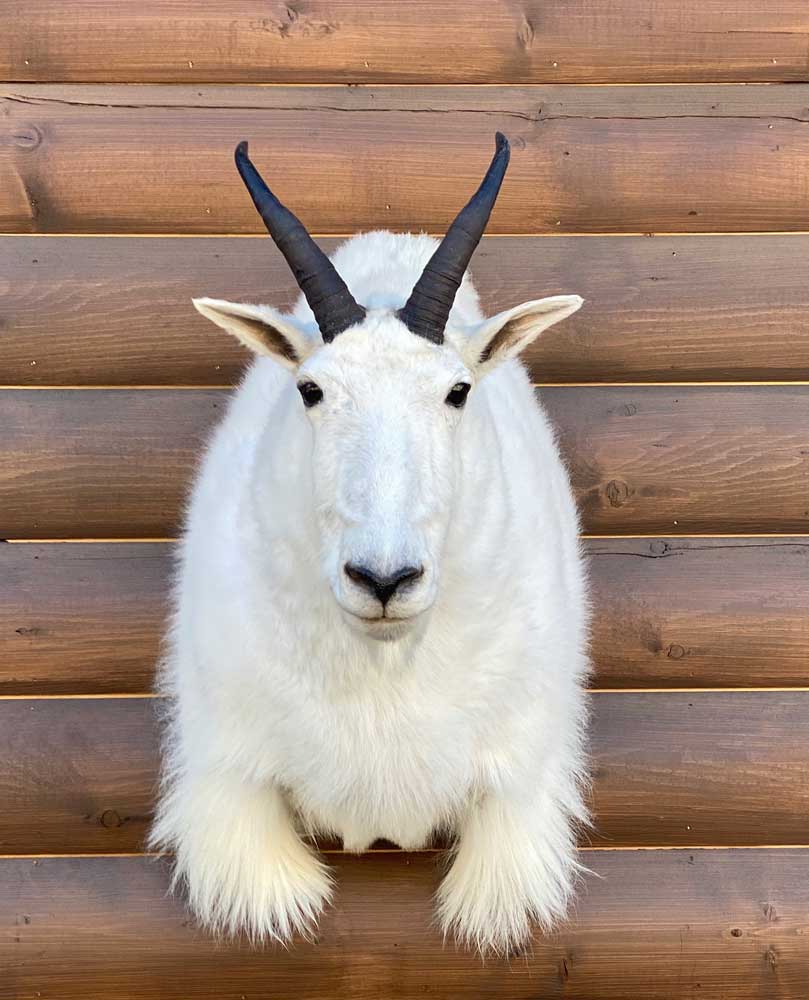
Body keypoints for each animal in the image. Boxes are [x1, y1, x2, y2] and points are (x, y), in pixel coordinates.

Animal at [150, 133, 590, 956]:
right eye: (311, 390)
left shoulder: (516, 790)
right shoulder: (232, 784)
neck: (382, 675)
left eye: (457, 391)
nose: (383, 581)